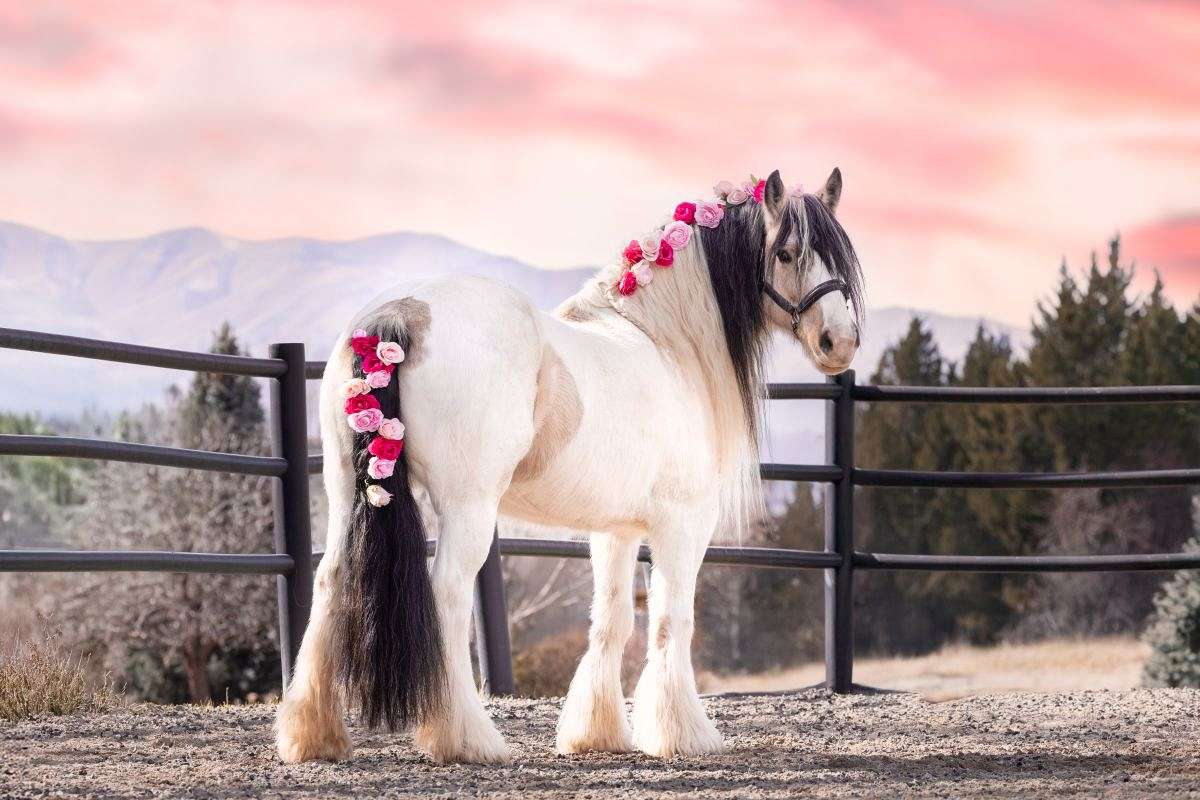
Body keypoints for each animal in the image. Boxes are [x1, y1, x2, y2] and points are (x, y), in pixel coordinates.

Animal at [275, 169, 864, 764]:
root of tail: (401, 315)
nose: (841, 342)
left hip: (346, 491)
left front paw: (595, 732)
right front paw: (682, 732)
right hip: (468, 507)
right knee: (448, 597)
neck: (666, 344)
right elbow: (673, 618)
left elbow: (612, 619)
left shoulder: (616, 530)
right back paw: (466, 737)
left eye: (842, 253)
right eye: (787, 252)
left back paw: (312, 733)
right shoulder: (684, 523)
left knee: (330, 582)